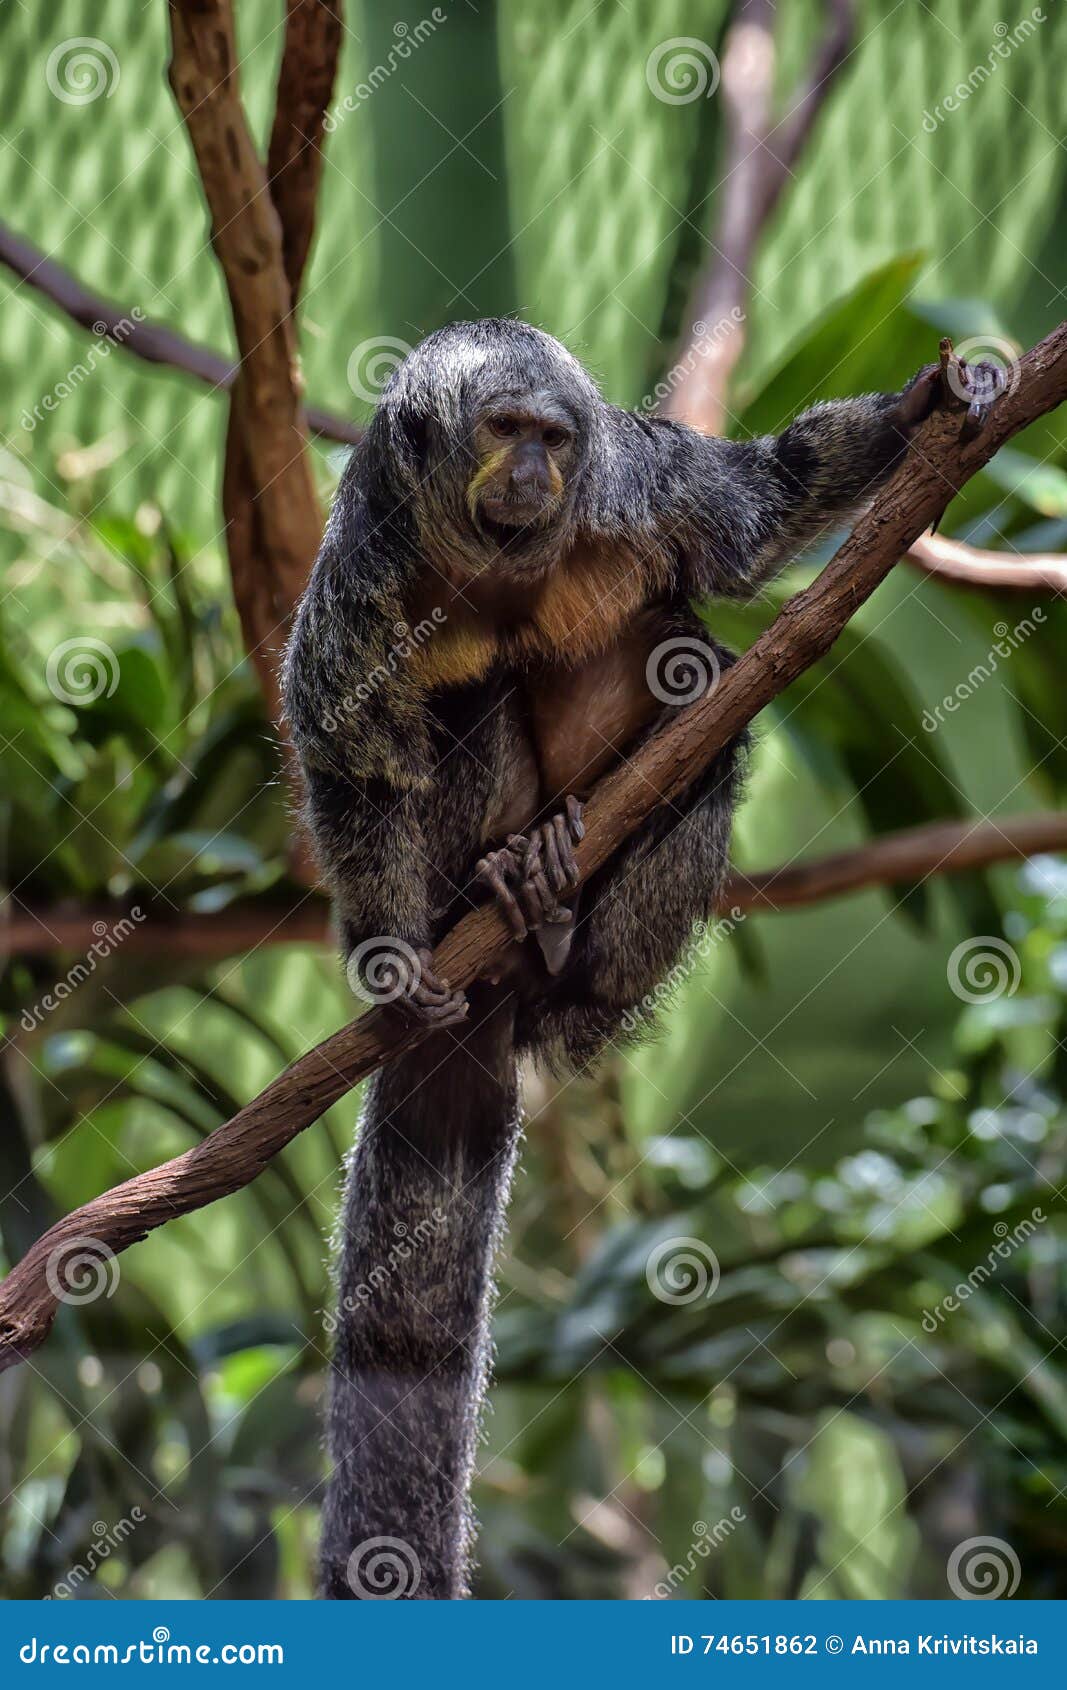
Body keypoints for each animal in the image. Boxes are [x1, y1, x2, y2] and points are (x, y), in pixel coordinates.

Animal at [281, 318, 996, 1599]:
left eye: (555, 439)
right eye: (503, 432)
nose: (533, 472)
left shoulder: (630, 482)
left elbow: (756, 512)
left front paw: (922, 407)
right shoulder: (360, 571)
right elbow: (351, 754)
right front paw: (388, 956)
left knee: (696, 683)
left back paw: (576, 943)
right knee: (465, 708)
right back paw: (496, 888)